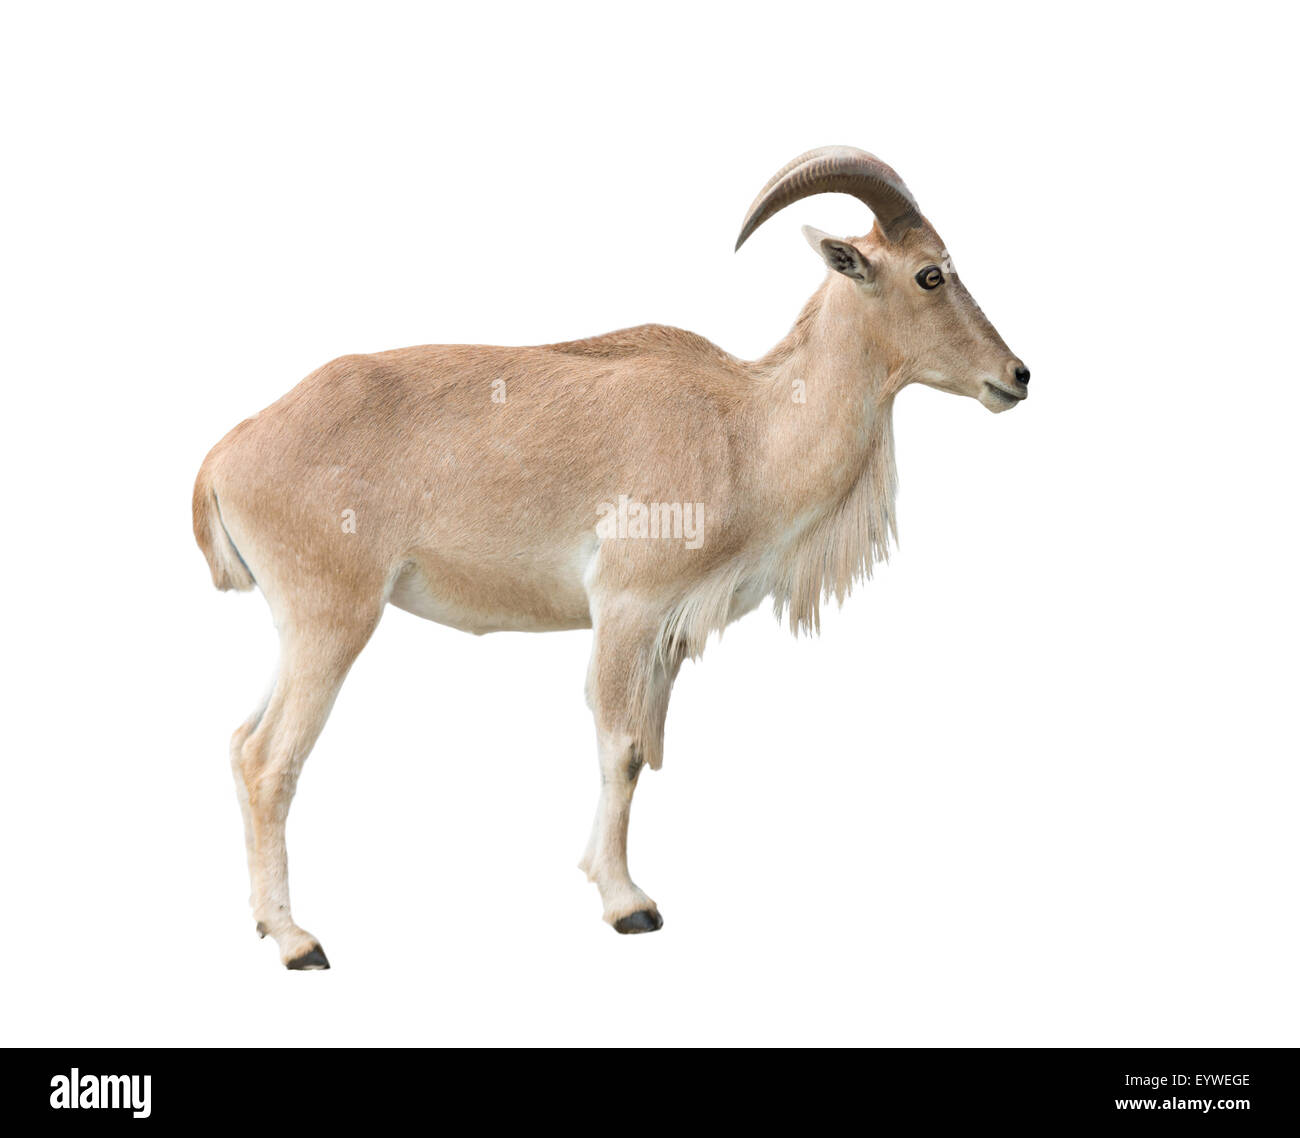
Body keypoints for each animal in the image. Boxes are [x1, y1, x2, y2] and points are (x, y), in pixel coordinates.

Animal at [193, 146, 1029, 968]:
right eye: (930, 274)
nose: (1017, 376)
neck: (746, 430)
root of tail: (228, 454)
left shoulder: (666, 634)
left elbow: (645, 752)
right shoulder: (629, 607)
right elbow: (623, 749)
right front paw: (629, 905)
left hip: (299, 626)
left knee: (239, 745)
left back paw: (268, 923)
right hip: (332, 617)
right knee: (270, 759)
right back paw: (298, 941)